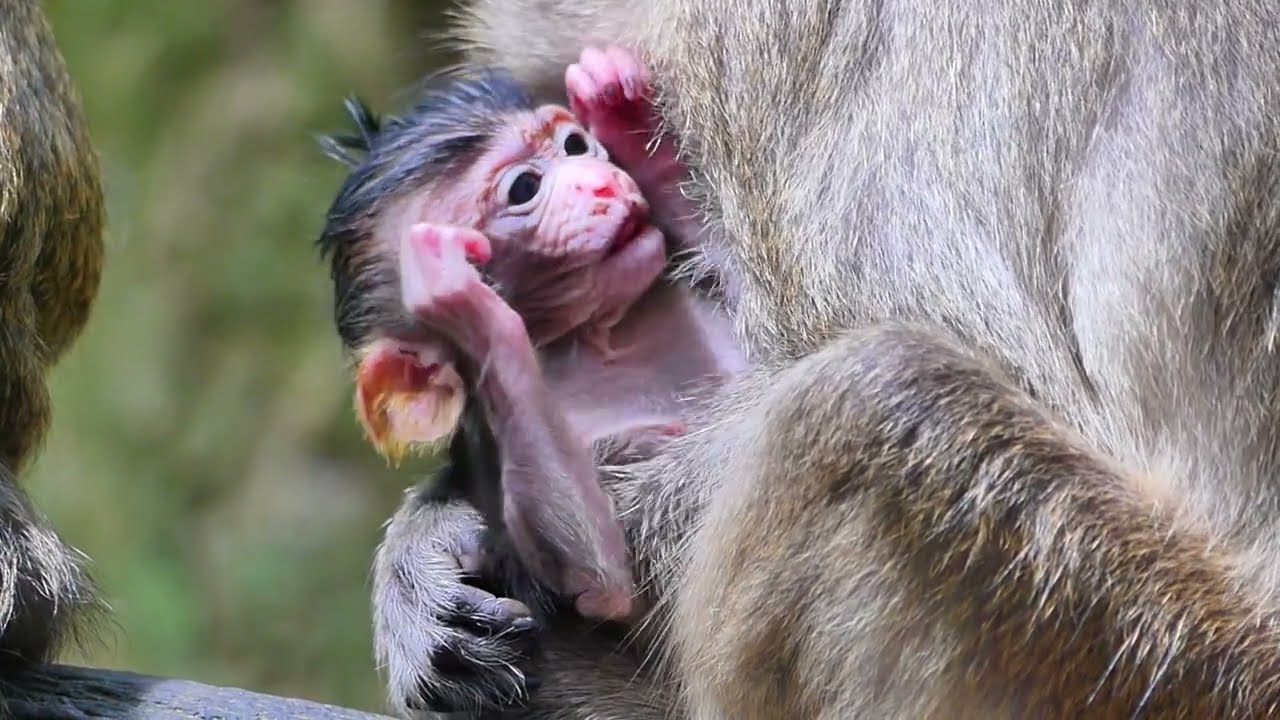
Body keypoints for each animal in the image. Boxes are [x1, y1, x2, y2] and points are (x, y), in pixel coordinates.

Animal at [316, 49, 743, 638]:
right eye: (523, 189)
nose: (601, 183)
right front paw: (459, 296)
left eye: (574, 145)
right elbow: (601, 582)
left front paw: (621, 115)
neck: (602, 336)